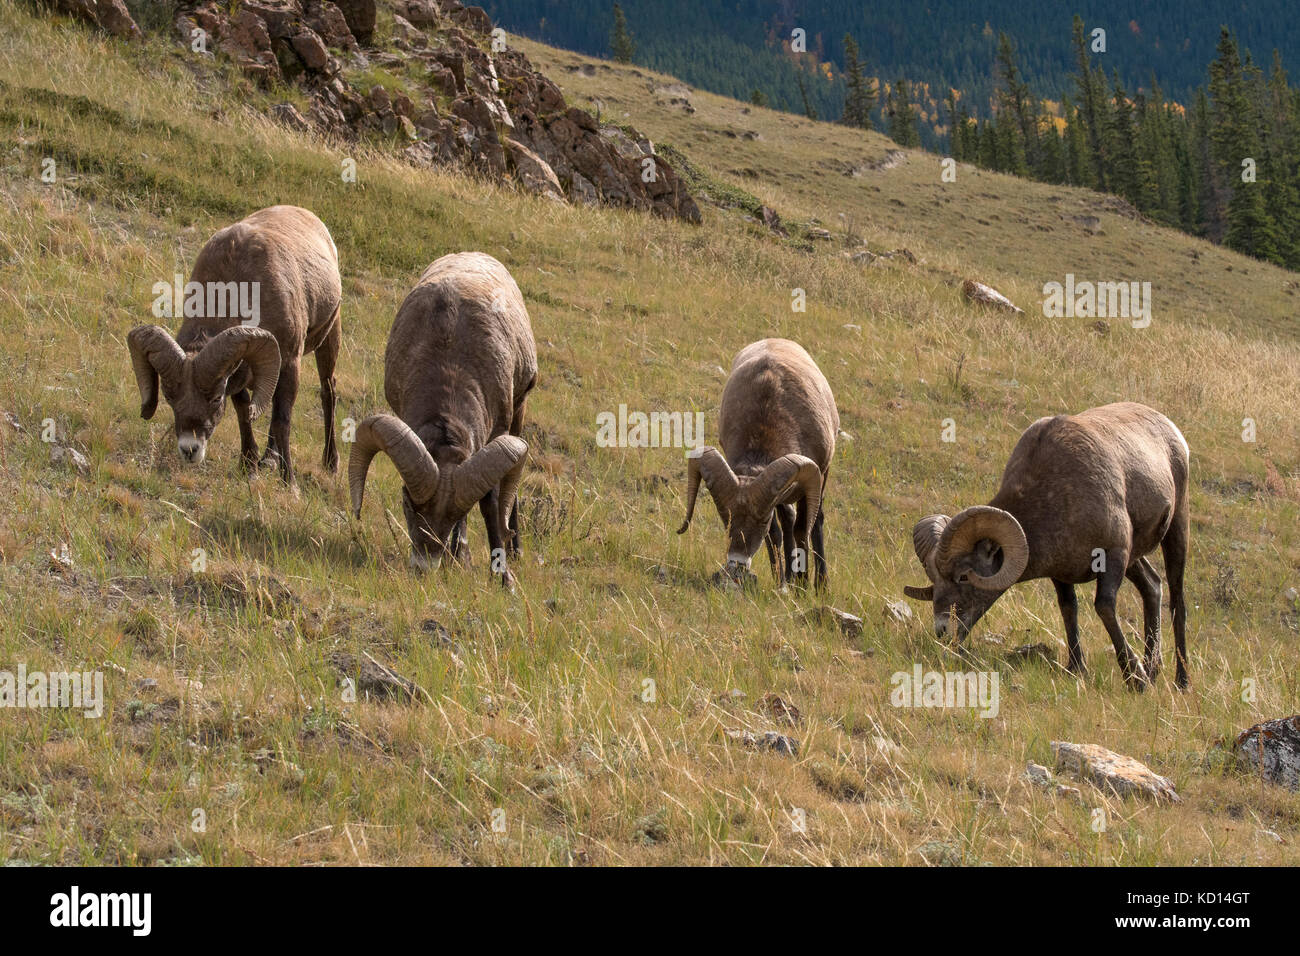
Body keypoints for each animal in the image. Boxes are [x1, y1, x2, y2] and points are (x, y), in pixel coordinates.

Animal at [126, 205, 342, 484]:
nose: (189, 449)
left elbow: (282, 420)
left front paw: (289, 483)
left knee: (328, 391)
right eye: (169, 397)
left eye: (216, 398)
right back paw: (267, 460)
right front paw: (248, 465)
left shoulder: (288, 363)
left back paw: (330, 463)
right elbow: (243, 410)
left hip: (330, 336)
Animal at [347, 252, 537, 587]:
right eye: (407, 502)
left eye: (453, 514)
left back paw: (513, 551)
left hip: (520, 409)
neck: (449, 357)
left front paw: (504, 580)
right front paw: (459, 558)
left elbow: (491, 505)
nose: (424, 567)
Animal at [677, 338, 838, 589]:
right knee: (787, 522)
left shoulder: (818, 476)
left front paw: (806, 588)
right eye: (726, 519)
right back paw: (787, 579)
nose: (737, 562)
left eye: (762, 520)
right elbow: (778, 534)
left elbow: (805, 528)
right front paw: (784, 583)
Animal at [902, 402, 1190, 690]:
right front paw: (1076, 668)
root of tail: (1170, 429)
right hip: (1136, 559)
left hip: (1176, 530)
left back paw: (1181, 680)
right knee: (1152, 587)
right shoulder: (1061, 572)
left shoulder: (1114, 555)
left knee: (1177, 601)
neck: (1054, 494)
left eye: (963, 576)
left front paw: (1135, 680)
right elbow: (1068, 608)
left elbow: (1104, 606)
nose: (942, 630)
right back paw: (1153, 670)